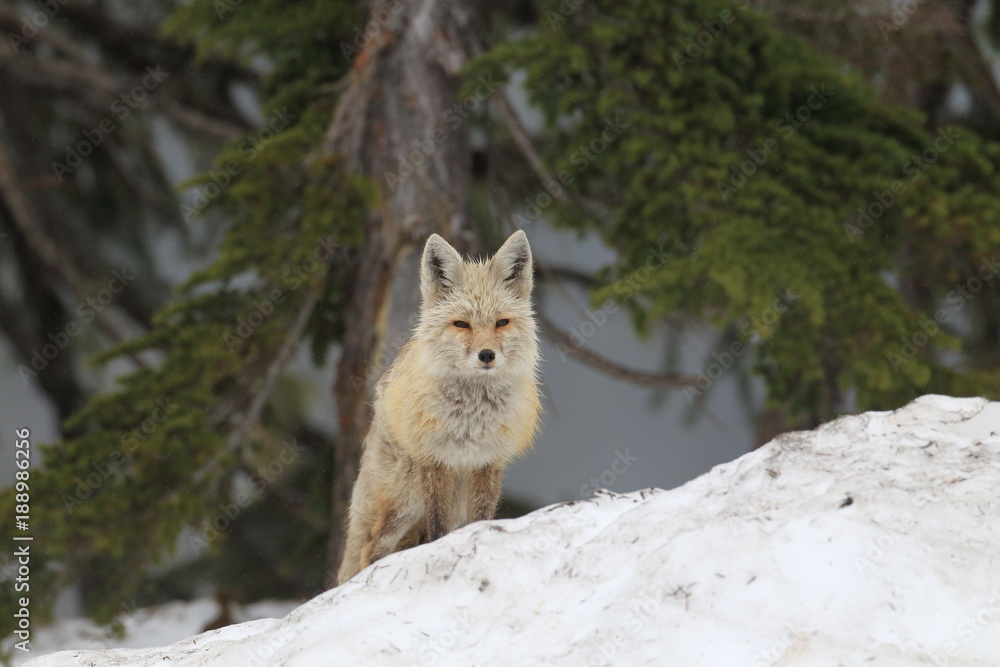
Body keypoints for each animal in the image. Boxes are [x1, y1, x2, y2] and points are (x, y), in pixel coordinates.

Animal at [336, 230, 541, 585]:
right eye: (462, 324)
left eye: (501, 322)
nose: (487, 355)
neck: (470, 418)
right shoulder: (435, 462)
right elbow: (438, 530)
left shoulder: (488, 463)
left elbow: (481, 519)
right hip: (406, 498)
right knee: (372, 547)